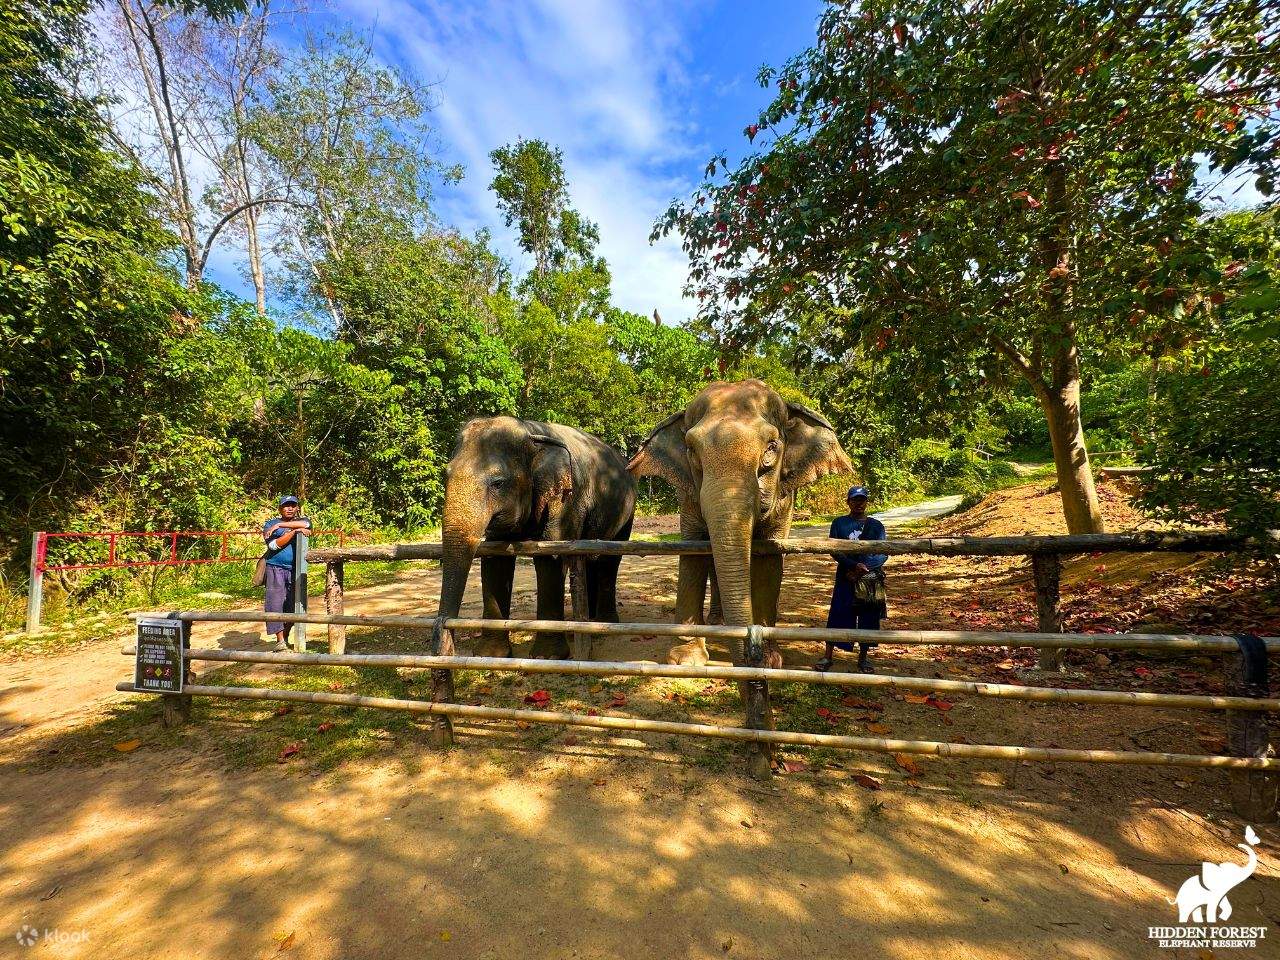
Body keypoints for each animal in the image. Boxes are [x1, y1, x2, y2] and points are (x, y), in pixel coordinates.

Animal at [436, 416, 636, 659]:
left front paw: (548, 656)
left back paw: (605, 624)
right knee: (590, 557)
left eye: (498, 483)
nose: (444, 642)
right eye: (446, 475)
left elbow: (550, 558)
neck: (530, 431)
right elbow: (496, 560)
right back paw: (586, 623)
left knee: (610, 560)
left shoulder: (566, 499)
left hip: (626, 513)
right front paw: (490, 655)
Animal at [628, 379, 852, 668]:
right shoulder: (687, 497)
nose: (749, 657)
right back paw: (716, 622)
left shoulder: (785, 501)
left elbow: (769, 559)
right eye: (692, 451)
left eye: (771, 447)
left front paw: (769, 660)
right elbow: (692, 553)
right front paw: (685, 660)